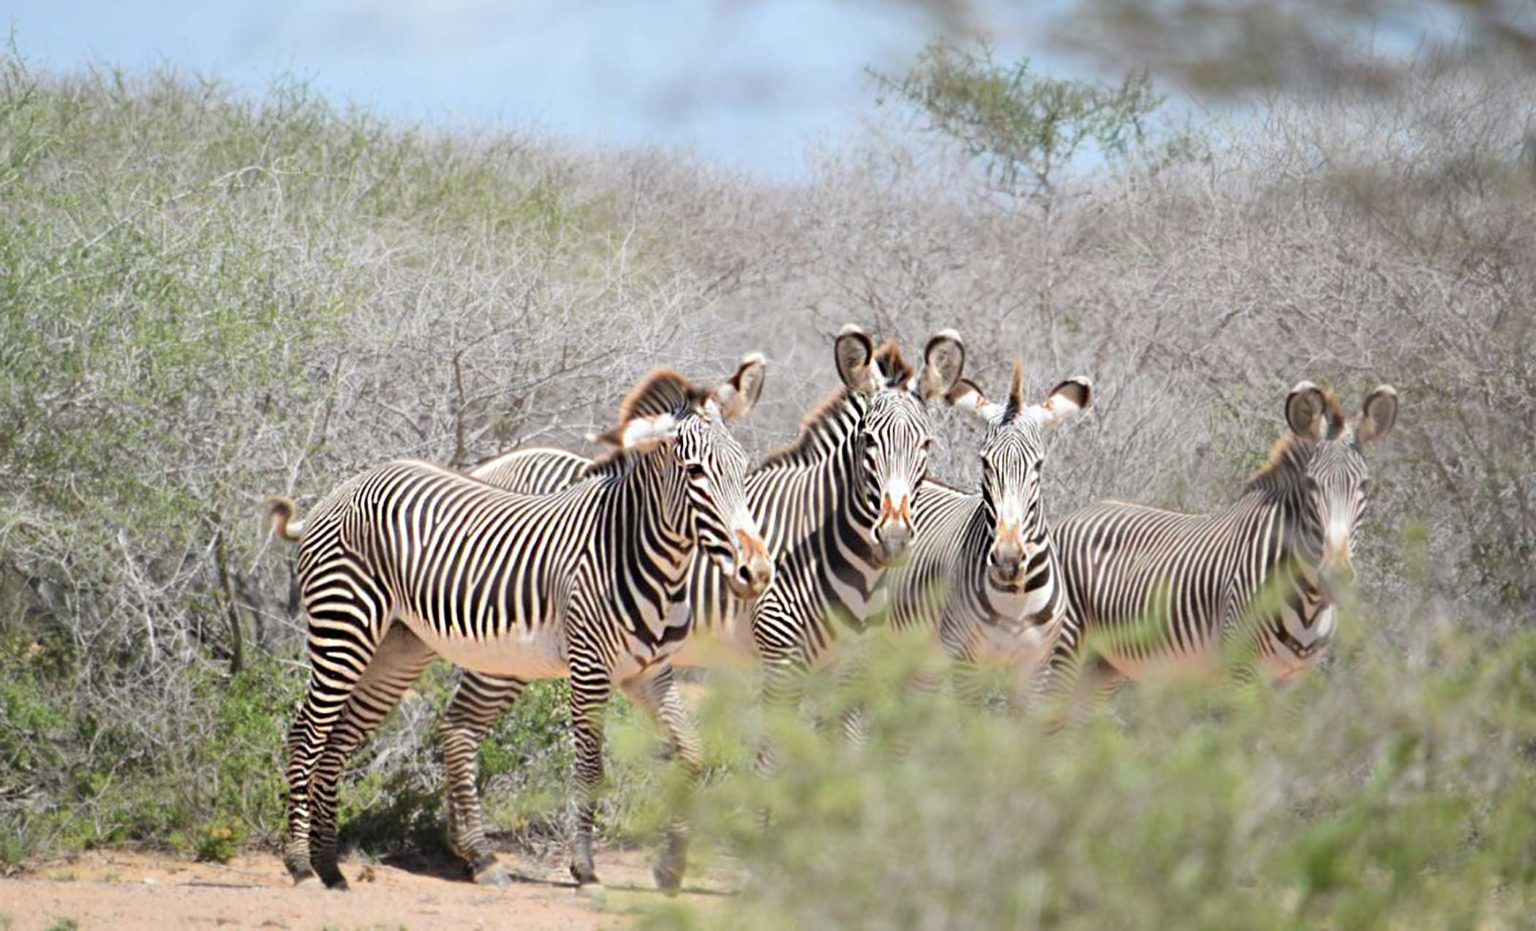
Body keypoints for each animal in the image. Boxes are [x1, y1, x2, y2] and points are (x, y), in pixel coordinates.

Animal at [264, 355, 771, 893]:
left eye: (742, 468)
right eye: (695, 472)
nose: (757, 572)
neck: (640, 553)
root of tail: (341, 490)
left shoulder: (650, 672)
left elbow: (692, 753)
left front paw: (670, 868)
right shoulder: (589, 668)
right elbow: (591, 768)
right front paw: (585, 870)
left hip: (396, 649)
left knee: (339, 740)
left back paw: (332, 867)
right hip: (344, 626)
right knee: (306, 735)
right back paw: (300, 865)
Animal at [435, 325, 967, 885]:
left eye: (927, 445)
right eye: (868, 442)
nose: (894, 538)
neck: (825, 542)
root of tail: (497, 464)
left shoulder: (849, 665)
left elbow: (848, 756)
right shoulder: (780, 655)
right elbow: (771, 754)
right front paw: (763, 857)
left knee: (459, 725)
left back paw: (464, 851)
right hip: (508, 645)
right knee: (463, 728)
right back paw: (478, 854)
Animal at [884, 362, 1092, 704]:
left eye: (1038, 466)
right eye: (985, 462)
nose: (1008, 559)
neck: (1017, 598)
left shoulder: (1035, 667)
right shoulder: (968, 662)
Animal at [1043, 381, 1399, 705]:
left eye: (1364, 485)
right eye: (1311, 484)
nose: (1335, 575)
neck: (1309, 601)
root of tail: (1068, 518)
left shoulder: (1294, 678)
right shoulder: (1243, 670)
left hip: (1101, 665)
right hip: (1064, 650)